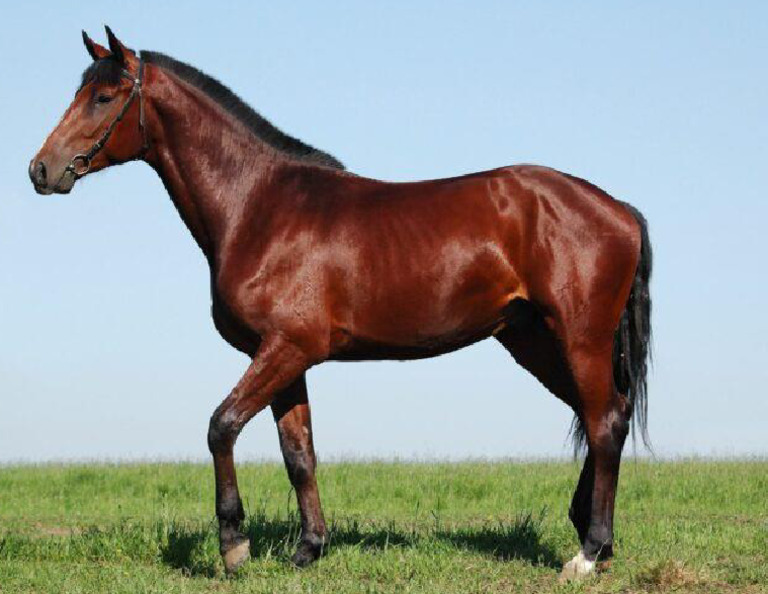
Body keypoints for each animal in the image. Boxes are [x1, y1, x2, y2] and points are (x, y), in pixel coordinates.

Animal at [29, 27, 652, 578]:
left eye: (104, 97)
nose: (41, 169)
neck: (259, 206)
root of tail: (618, 208)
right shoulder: (285, 357)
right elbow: (298, 453)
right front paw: (308, 549)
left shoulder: (286, 348)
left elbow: (221, 427)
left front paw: (234, 546)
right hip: (531, 340)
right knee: (603, 416)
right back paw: (597, 539)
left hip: (578, 337)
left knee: (603, 422)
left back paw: (587, 553)